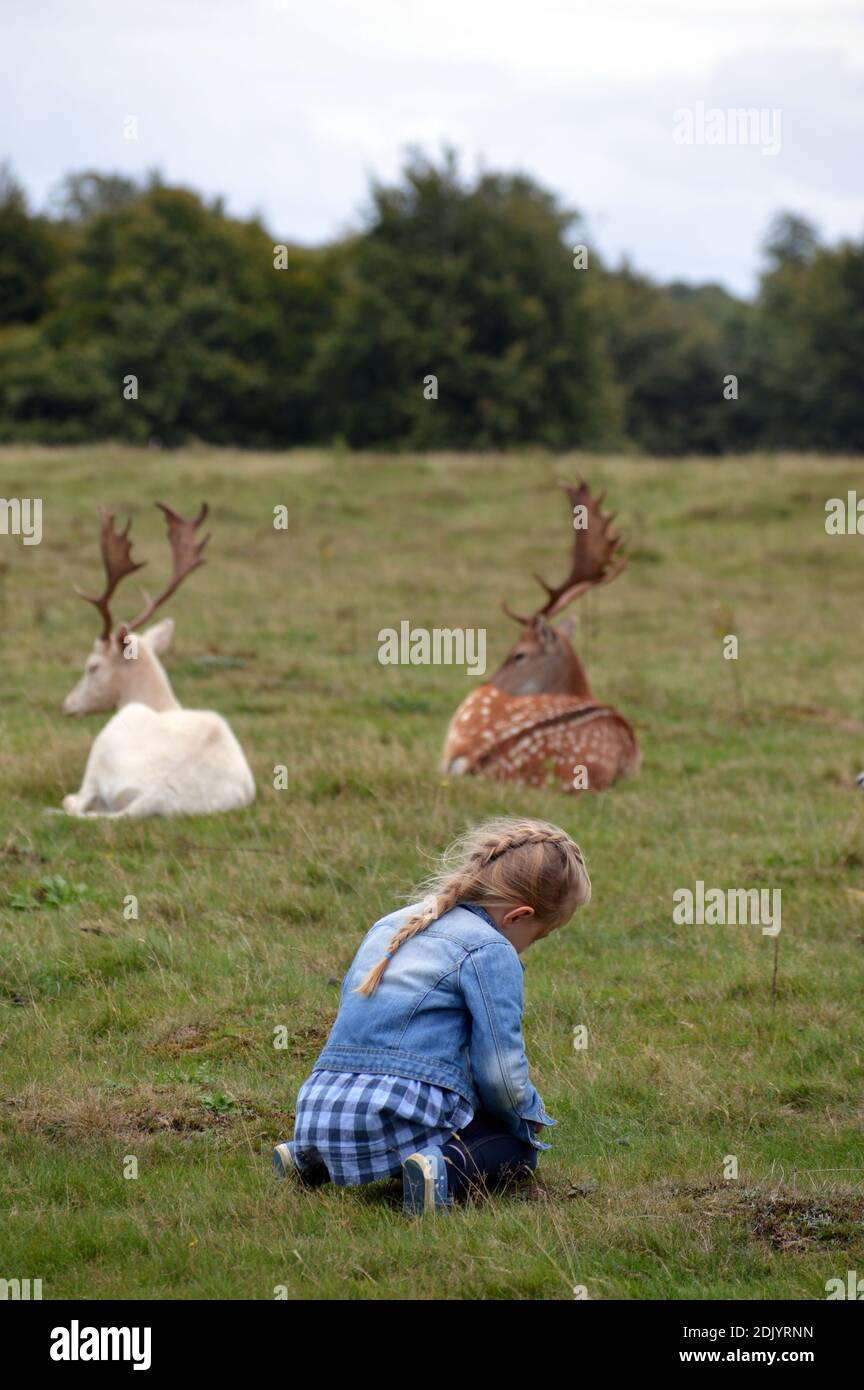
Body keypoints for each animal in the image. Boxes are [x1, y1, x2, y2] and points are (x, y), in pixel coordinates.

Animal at [61, 502, 255, 818]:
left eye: (92, 666)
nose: (67, 704)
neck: (161, 703)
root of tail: (155, 794)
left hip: (104, 746)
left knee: (78, 801)